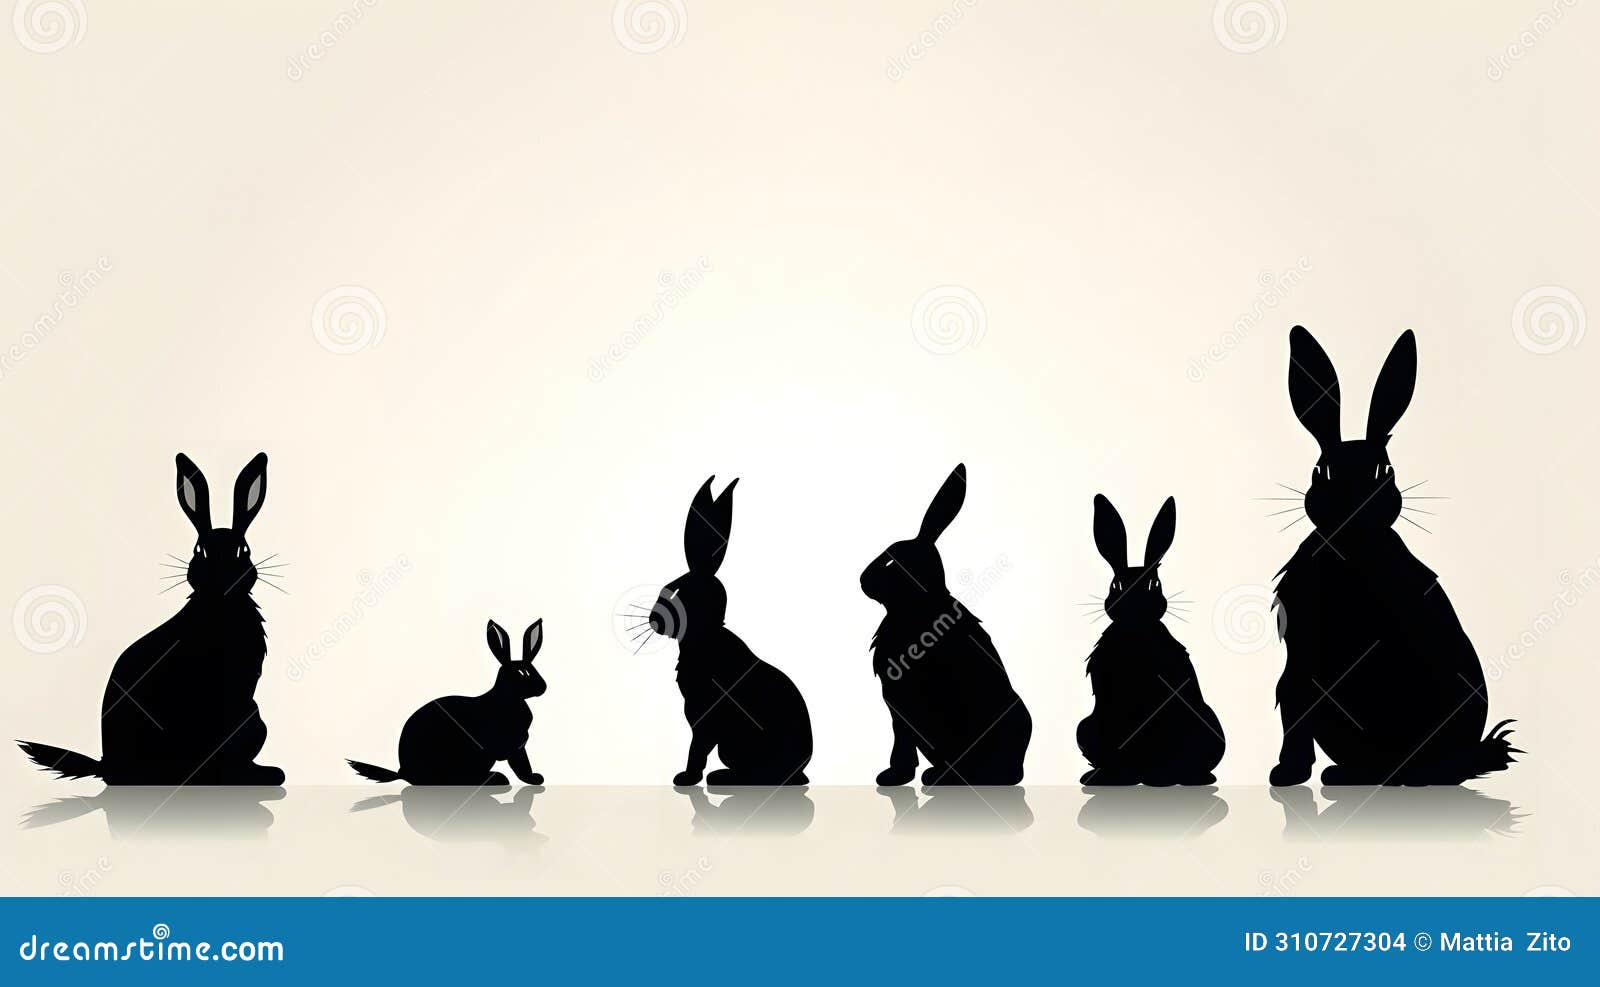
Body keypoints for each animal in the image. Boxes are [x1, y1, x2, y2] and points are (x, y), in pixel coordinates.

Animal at [348, 619, 547, 786]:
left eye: (534, 670)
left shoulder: (519, 748)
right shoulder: (505, 743)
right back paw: (494, 779)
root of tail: (403, 773)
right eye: (520, 674)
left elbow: (522, 765)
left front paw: (535, 779)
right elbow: (514, 760)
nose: (543, 687)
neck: (508, 700)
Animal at [645, 477, 813, 787]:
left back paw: (721, 778)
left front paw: (686, 778)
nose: (653, 620)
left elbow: (697, 747)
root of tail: (799, 770)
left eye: (674, 592)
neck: (704, 637)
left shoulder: (704, 717)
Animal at [862, 464, 1032, 786]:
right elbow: (901, 743)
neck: (916, 608)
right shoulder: (898, 712)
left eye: (891, 563)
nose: (862, 580)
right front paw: (894, 777)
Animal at [1270, 327, 1519, 787]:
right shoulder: (1299, 658)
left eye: (1384, 471)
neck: (1354, 550)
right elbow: (1292, 702)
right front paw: (1287, 774)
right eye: (1321, 472)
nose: (1354, 503)